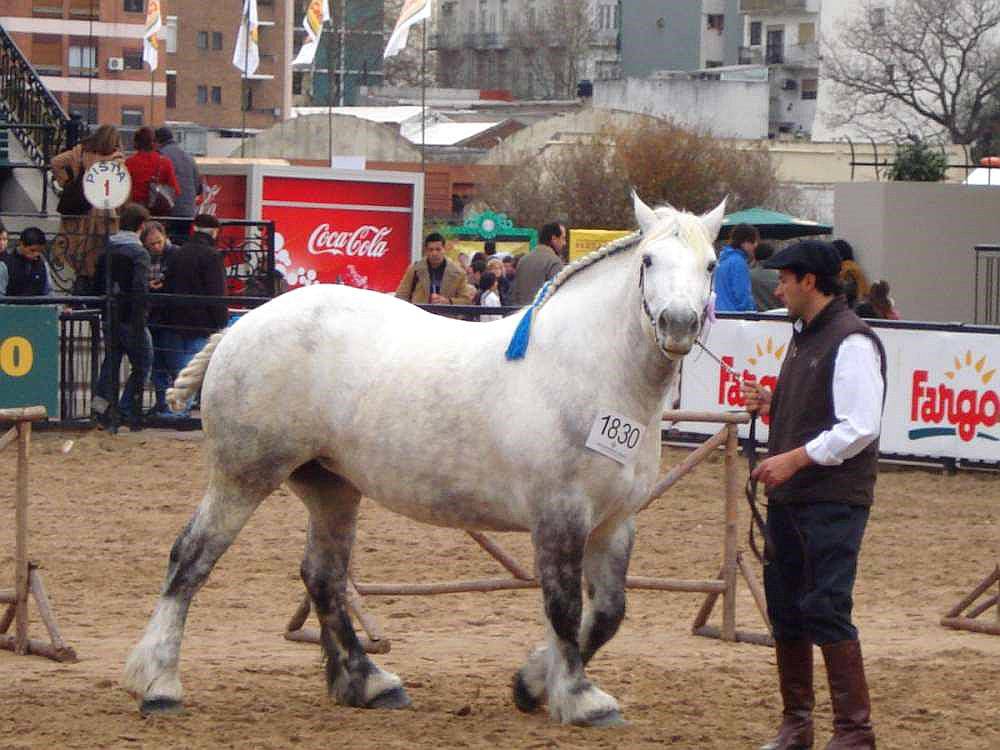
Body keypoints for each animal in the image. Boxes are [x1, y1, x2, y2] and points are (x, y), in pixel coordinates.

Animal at [123, 192, 726, 726]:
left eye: (711, 264)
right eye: (648, 261)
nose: (677, 324)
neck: (590, 371)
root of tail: (239, 326)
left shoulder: (614, 521)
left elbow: (607, 614)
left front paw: (533, 685)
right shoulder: (560, 515)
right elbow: (564, 607)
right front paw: (579, 699)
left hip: (331, 487)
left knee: (323, 577)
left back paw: (367, 683)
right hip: (242, 478)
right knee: (191, 559)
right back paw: (158, 684)